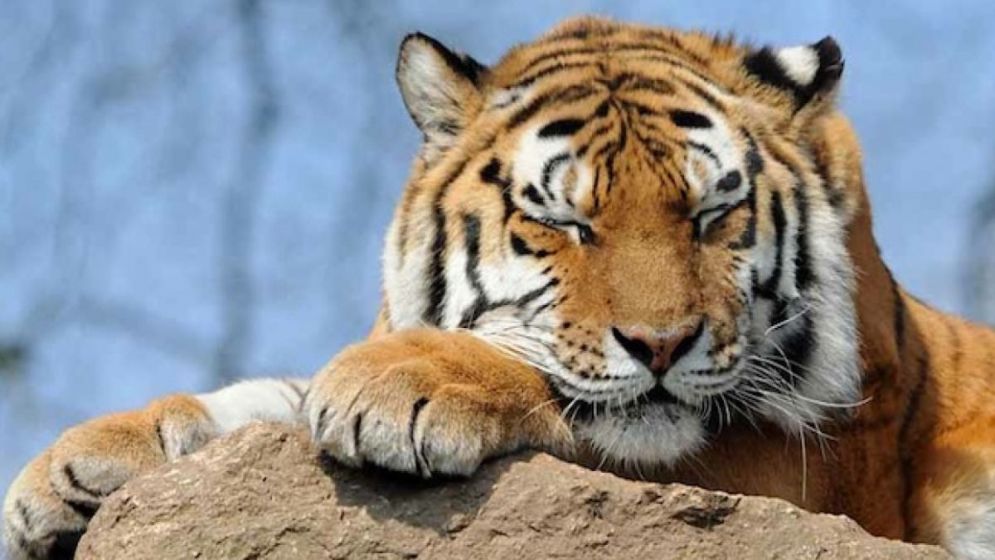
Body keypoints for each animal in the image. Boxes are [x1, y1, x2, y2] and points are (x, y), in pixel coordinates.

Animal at [5, 15, 995, 560]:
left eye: (711, 214)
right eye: (564, 222)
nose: (662, 346)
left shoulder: (808, 465)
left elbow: (562, 396)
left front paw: (402, 384)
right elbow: (266, 398)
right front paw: (67, 470)